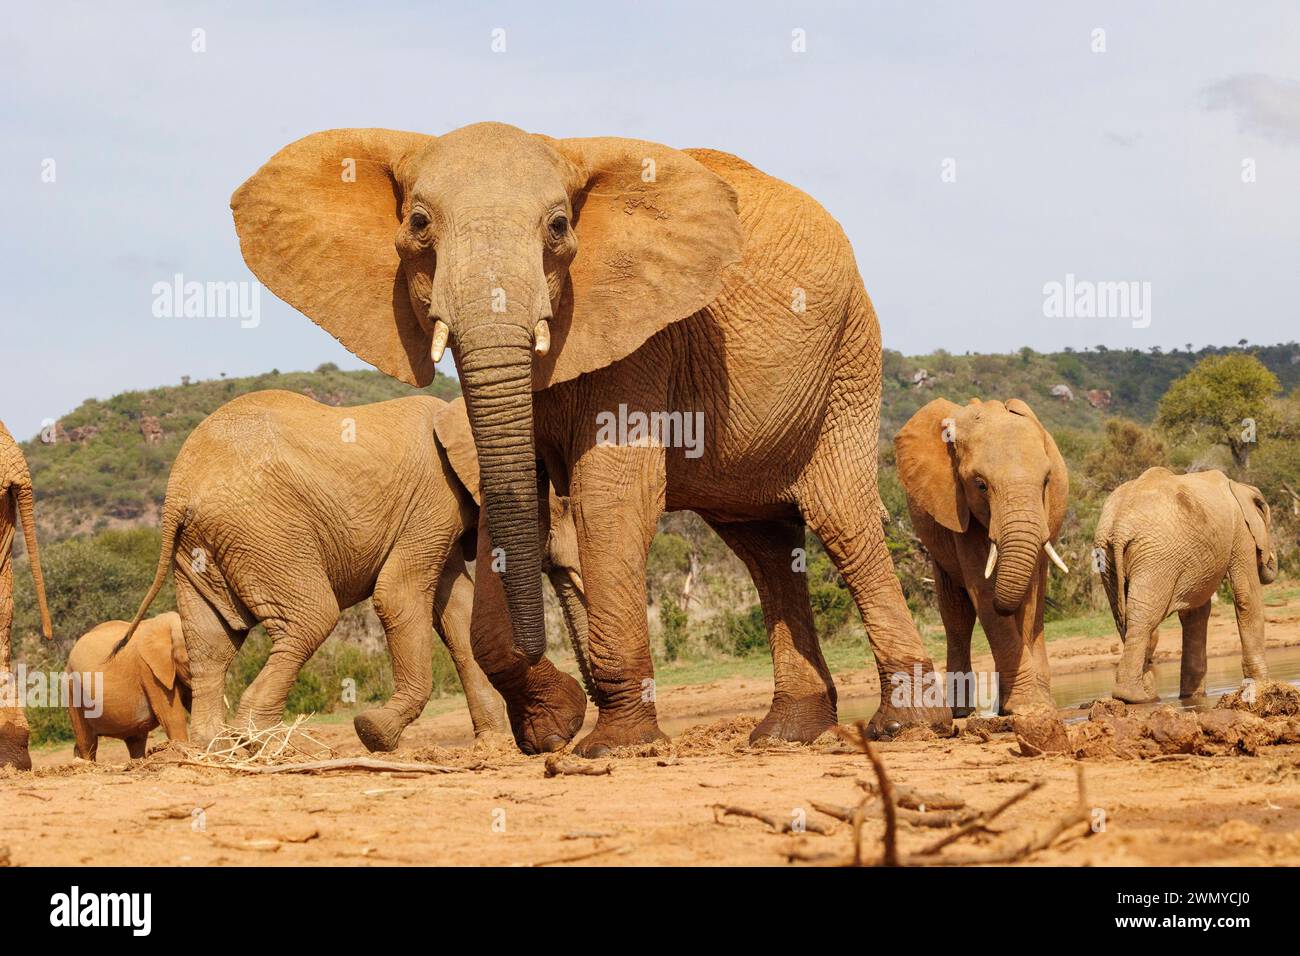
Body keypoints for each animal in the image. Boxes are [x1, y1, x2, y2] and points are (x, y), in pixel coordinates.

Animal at [67, 612, 190, 760]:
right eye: (189, 661)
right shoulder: (148, 671)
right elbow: (172, 718)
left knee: (135, 740)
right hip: (72, 691)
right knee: (87, 743)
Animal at [116, 390, 589, 753]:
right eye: (561, 501)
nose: (561, 737)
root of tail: (179, 489)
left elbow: (455, 607)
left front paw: (492, 746)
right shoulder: (433, 498)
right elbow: (399, 594)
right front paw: (374, 733)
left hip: (201, 549)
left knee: (212, 642)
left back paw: (217, 748)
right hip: (263, 531)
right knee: (311, 618)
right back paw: (264, 745)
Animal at [231, 121, 951, 755]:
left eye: (558, 228)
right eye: (418, 224)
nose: (553, 701)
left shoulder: (644, 333)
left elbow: (611, 492)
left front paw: (614, 744)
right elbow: (511, 492)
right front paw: (557, 727)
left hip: (850, 354)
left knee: (841, 520)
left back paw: (904, 726)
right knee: (764, 545)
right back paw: (785, 734)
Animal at [894, 399, 1070, 716]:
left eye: (1047, 481)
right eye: (980, 485)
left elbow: (1027, 598)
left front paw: (1032, 706)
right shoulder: (957, 505)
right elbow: (983, 592)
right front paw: (1025, 706)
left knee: (1035, 610)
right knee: (957, 616)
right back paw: (962, 712)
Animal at [1094, 467, 1276, 703]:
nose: (1269, 559)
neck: (1239, 486)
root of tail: (1119, 528)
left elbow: (1195, 613)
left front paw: (1192, 697)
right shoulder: (1241, 532)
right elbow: (1246, 596)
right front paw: (1263, 686)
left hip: (1107, 557)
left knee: (1123, 618)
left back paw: (1147, 696)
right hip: (1156, 556)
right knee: (1143, 617)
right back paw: (1135, 696)